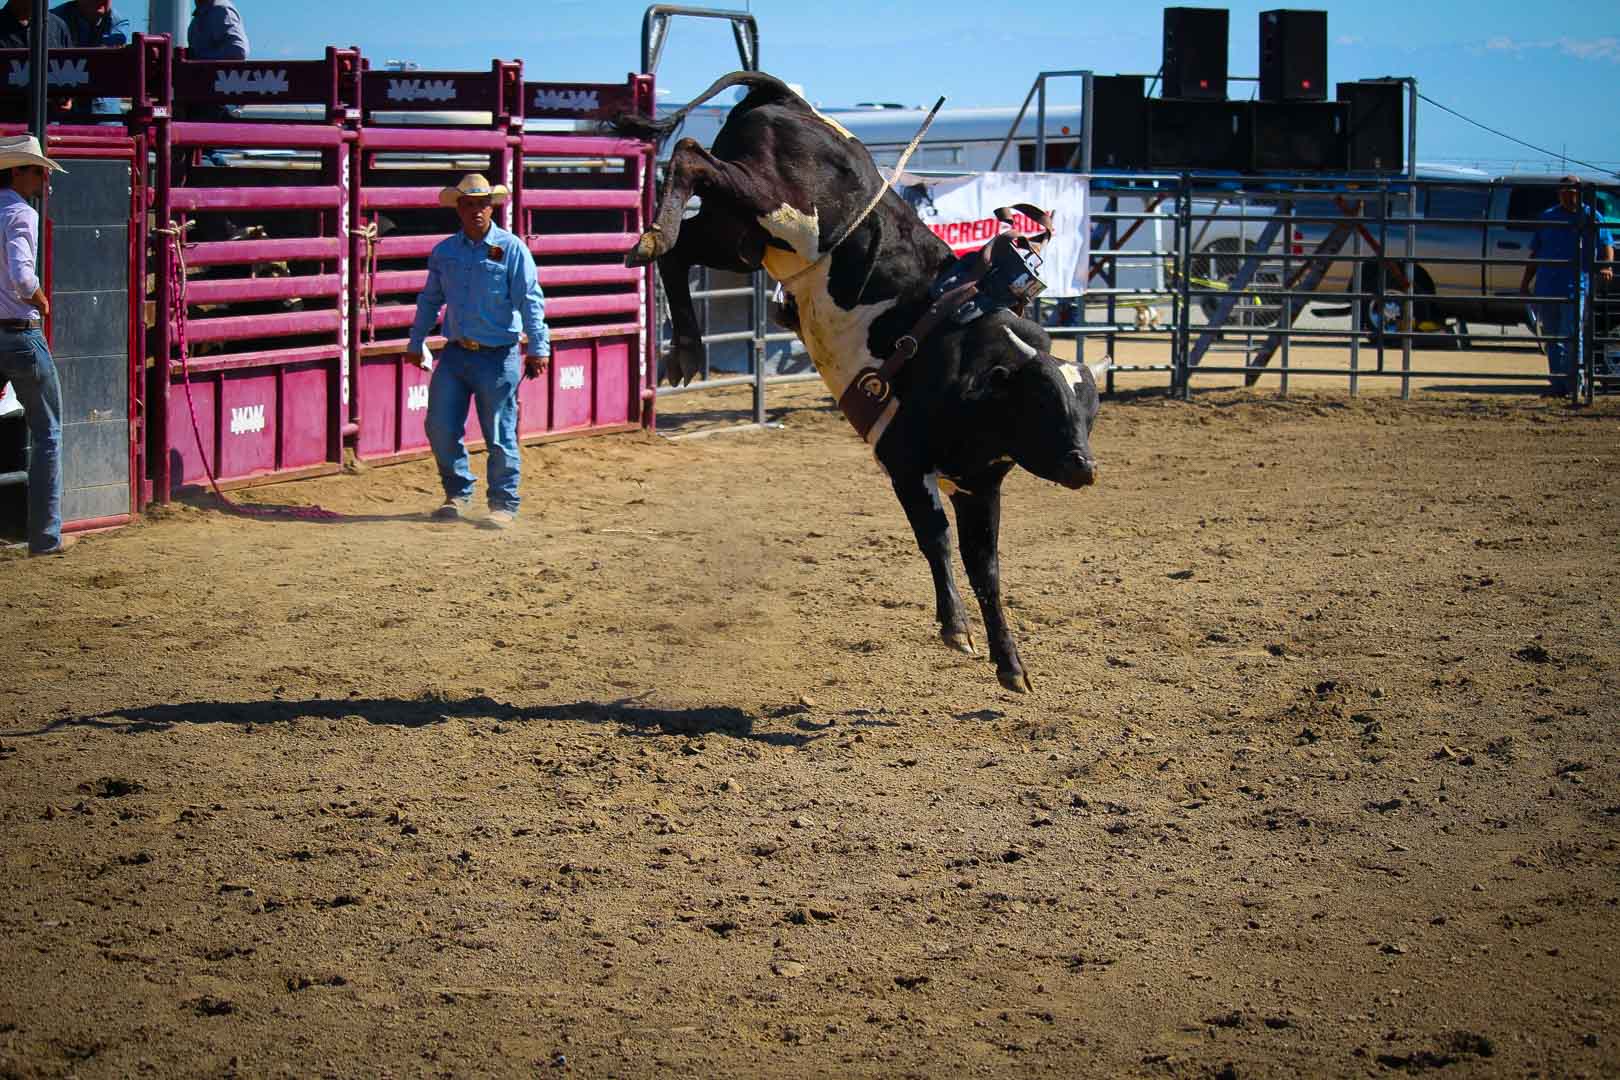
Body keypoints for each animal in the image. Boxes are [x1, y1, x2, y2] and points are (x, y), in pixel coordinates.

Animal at [615, 72, 1104, 692]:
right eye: (1042, 404)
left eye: (1088, 412)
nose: (1083, 467)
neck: (973, 369)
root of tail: (788, 98)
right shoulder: (905, 460)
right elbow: (936, 538)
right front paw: (956, 629)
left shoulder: (978, 486)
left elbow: (988, 570)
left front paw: (1011, 665)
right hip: (775, 205)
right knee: (691, 157)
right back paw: (654, 235)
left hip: (741, 237)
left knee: (684, 253)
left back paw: (684, 344)